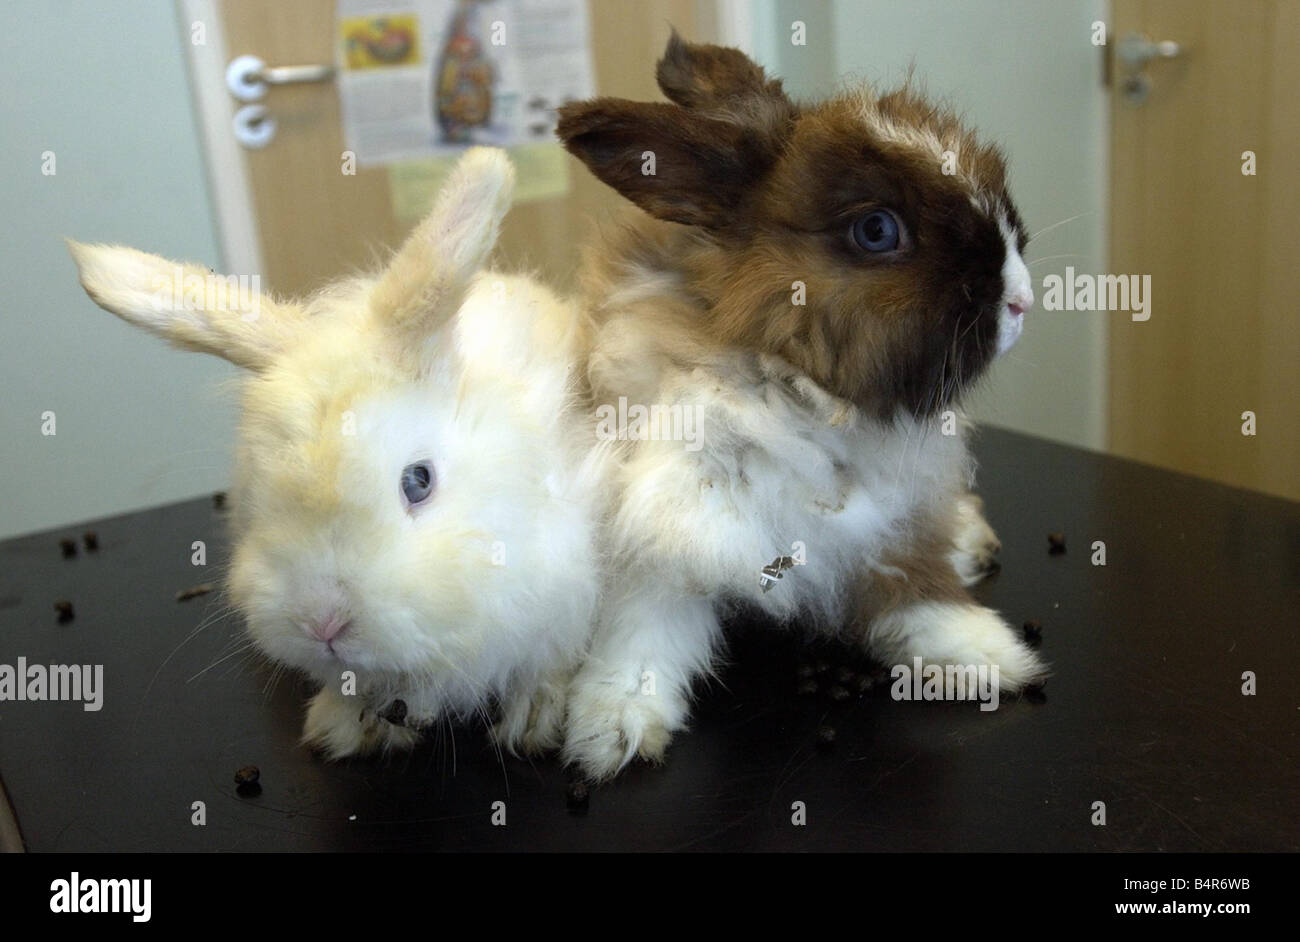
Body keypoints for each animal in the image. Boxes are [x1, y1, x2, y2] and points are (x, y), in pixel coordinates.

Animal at [67, 148, 606, 760]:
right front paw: (342, 726)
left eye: (418, 481)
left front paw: (533, 720)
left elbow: (547, 660)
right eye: (258, 491)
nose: (321, 623)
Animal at [555, 33, 1047, 780]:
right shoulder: (673, 526)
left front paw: (985, 656)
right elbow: (645, 630)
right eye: (876, 230)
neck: (801, 395)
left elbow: (916, 589)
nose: (1019, 298)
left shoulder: (891, 521)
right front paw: (613, 728)